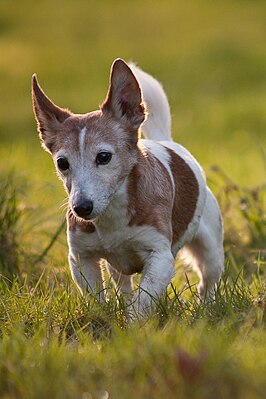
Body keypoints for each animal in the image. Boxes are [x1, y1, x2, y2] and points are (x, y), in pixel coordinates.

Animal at [32, 57, 224, 318]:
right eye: (62, 163)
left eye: (104, 157)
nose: (81, 208)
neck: (113, 214)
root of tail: (165, 141)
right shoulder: (82, 257)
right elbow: (96, 298)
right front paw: (103, 319)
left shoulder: (160, 258)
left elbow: (142, 302)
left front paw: (133, 325)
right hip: (115, 266)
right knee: (122, 284)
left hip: (211, 250)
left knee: (208, 282)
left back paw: (205, 308)